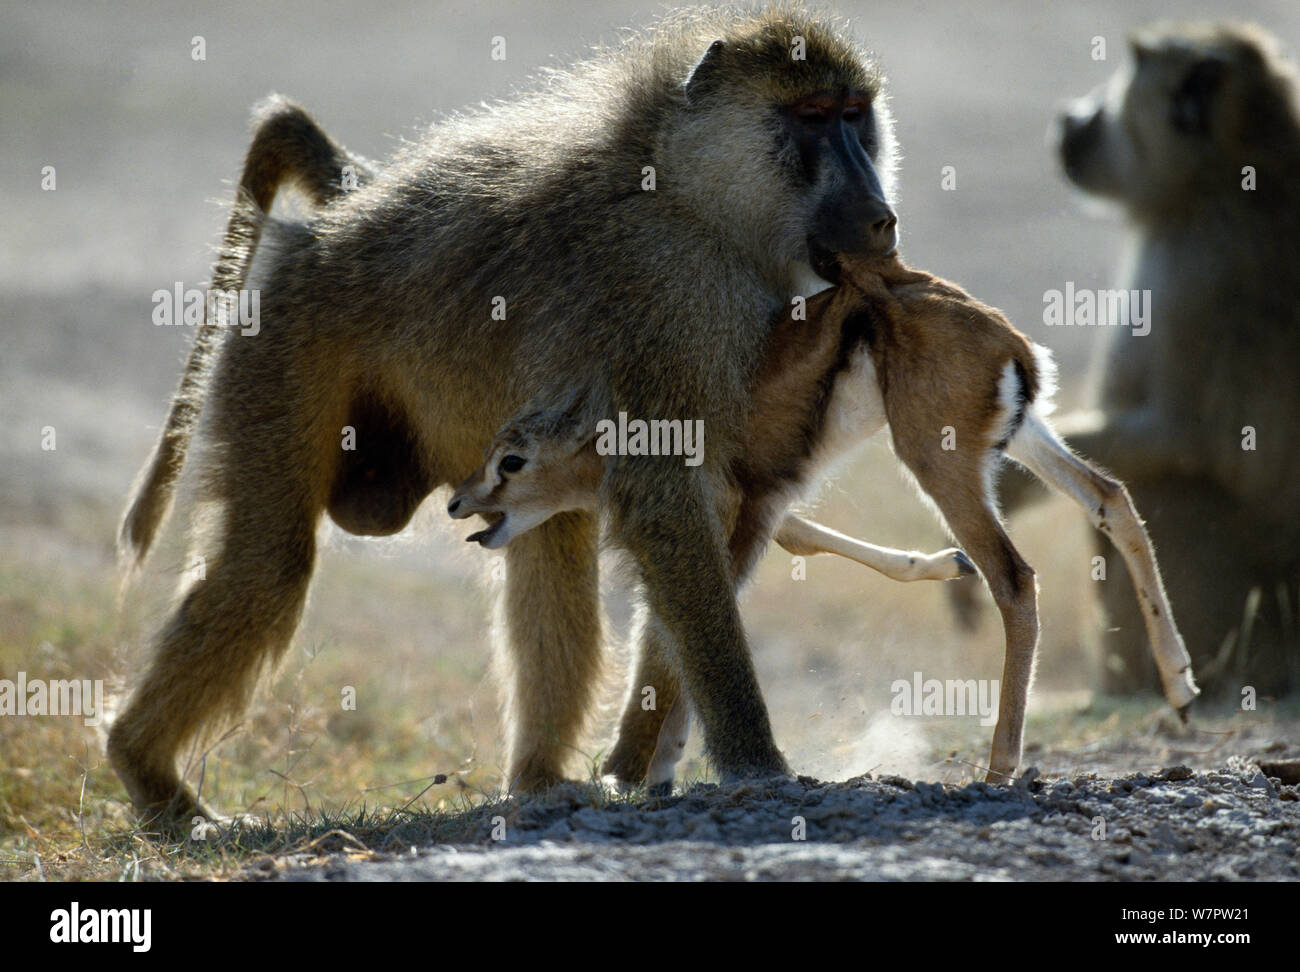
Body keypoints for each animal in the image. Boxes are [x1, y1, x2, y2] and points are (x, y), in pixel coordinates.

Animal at [110, 6, 903, 825]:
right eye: (812, 118)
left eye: (855, 115)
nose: (881, 219)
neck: (691, 199)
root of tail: (339, 222)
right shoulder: (666, 294)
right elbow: (668, 504)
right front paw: (757, 762)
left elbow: (730, 503)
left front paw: (634, 758)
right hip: (288, 338)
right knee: (268, 565)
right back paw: (151, 777)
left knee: (548, 540)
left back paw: (540, 780)